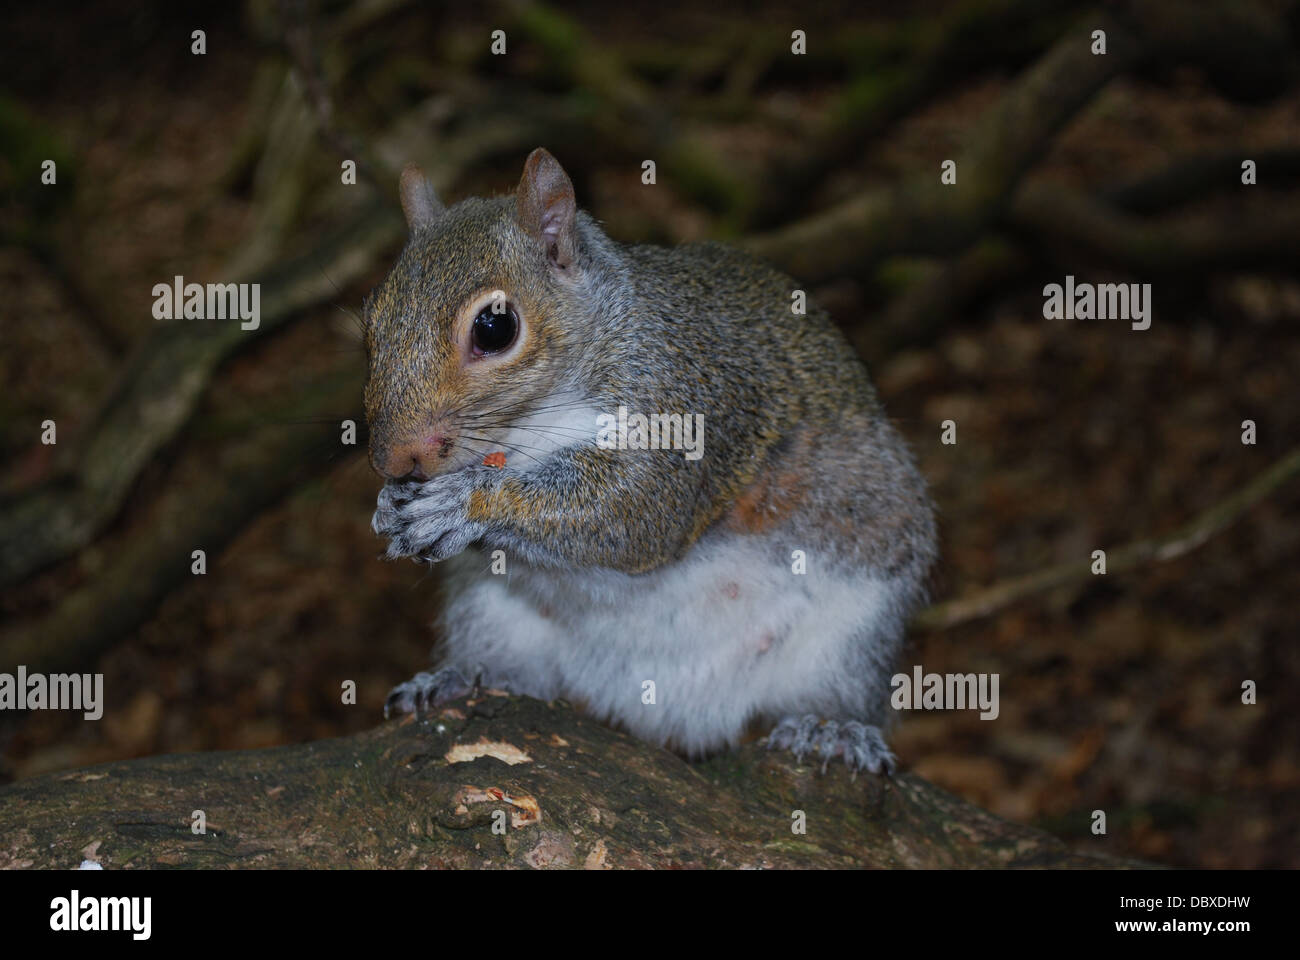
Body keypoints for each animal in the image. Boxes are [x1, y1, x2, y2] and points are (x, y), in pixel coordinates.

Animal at [363, 148, 937, 773]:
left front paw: (464, 501)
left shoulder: (685, 406)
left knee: (840, 689)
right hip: (489, 614)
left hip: (849, 633)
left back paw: (831, 729)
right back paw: (459, 678)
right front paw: (390, 505)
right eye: (371, 322)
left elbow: (637, 511)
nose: (395, 458)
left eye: (495, 327)